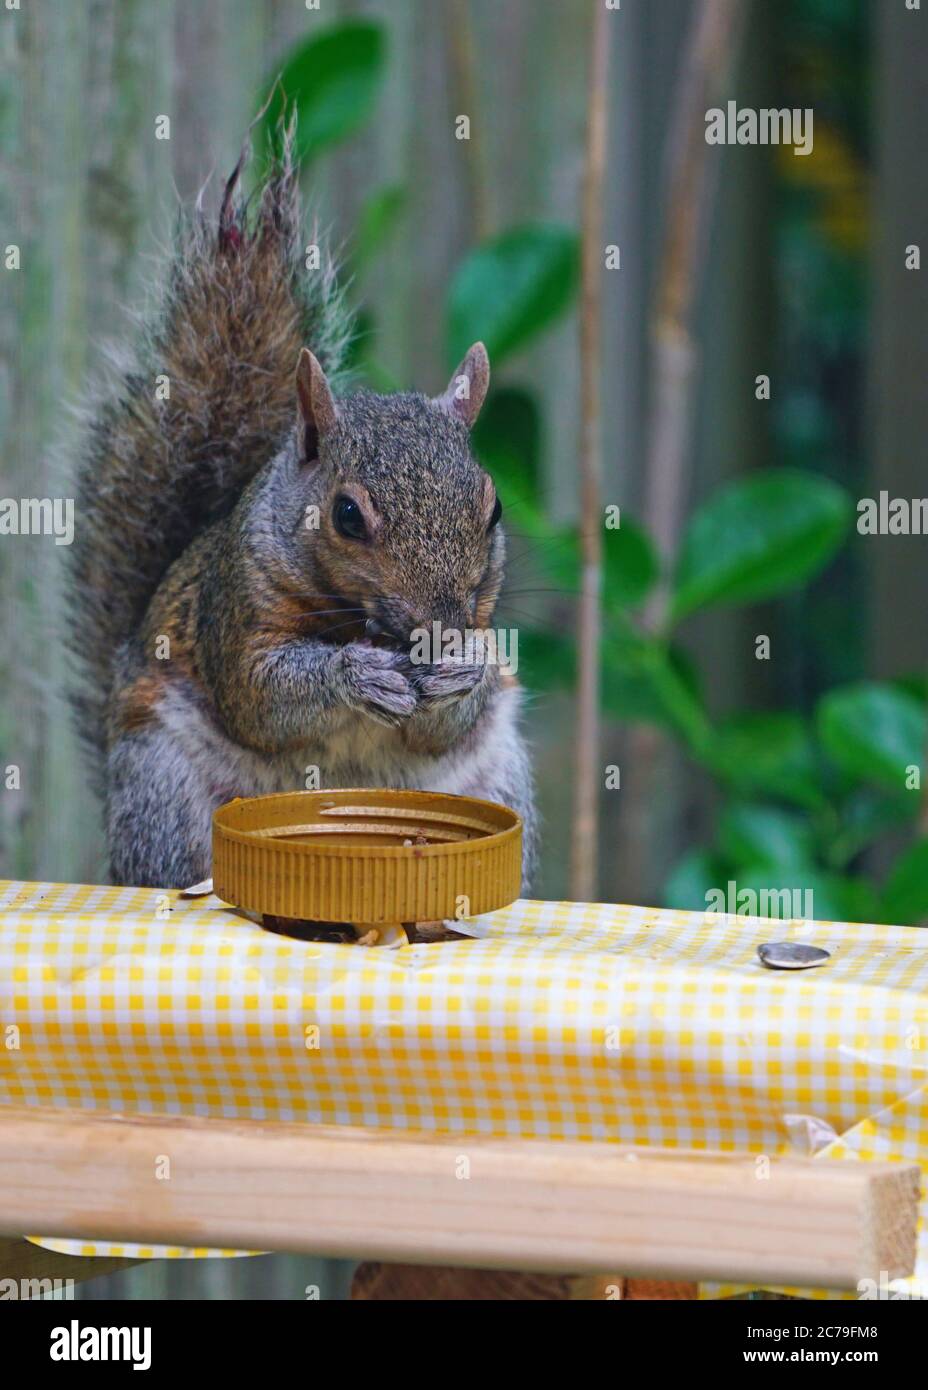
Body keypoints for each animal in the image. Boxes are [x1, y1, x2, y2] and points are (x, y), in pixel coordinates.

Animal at [67, 144, 537, 892]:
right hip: (161, 787)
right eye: (346, 515)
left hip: (499, 780)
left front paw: (462, 670)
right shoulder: (237, 607)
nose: (439, 630)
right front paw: (355, 674)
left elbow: (450, 720)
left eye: (492, 509)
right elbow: (261, 694)